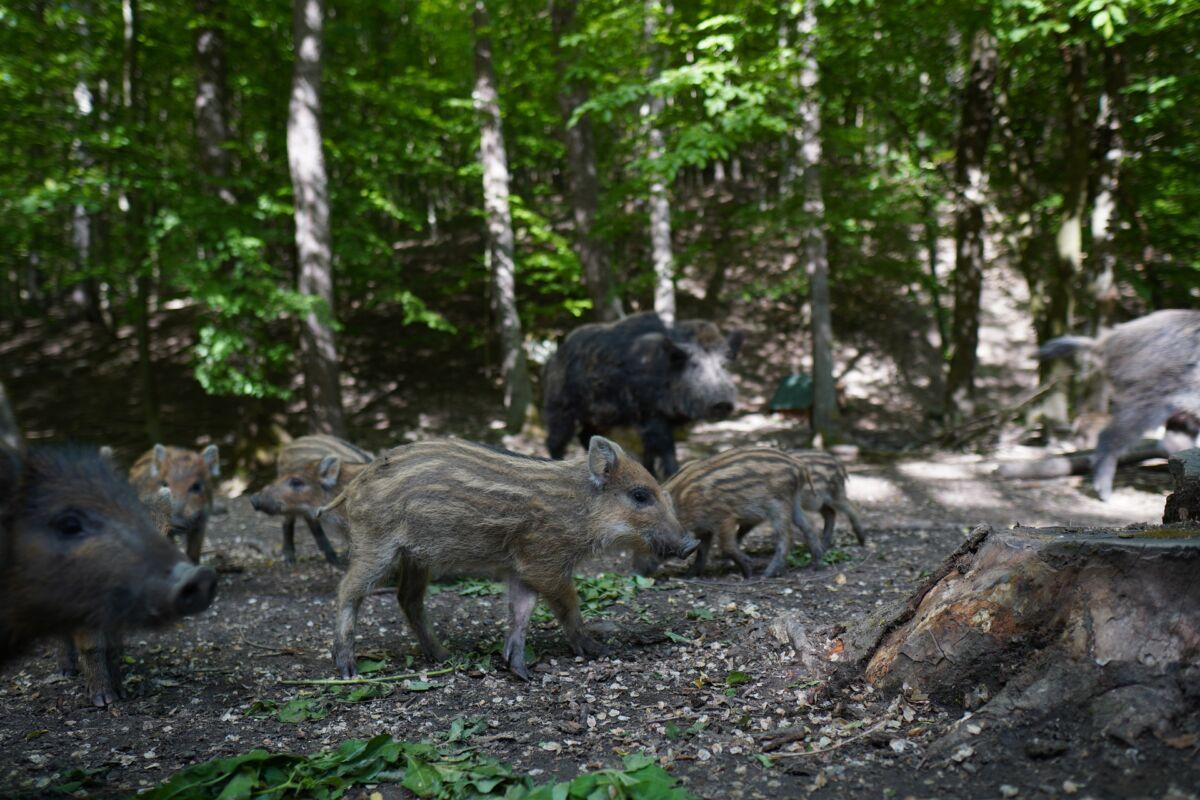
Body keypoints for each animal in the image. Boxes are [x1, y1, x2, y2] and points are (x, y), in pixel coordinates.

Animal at [0, 384, 217, 685]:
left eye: (167, 533)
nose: (198, 577)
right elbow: (92, 645)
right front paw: (103, 694)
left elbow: (114, 643)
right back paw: (66, 670)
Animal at [323, 436, 697, 680]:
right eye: (640, 495)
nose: (691, 543)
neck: (579, 509)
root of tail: (354, 485)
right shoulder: (545, 561)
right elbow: (568, 607)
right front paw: (598, 649)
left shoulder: (523, 566)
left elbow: (521, 611)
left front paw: (519, 671)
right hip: (376, 545)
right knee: (347, 591)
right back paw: (347, 669)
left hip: (416, 558)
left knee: (408, 599)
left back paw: (444, 655)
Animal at [542, 311, 743, 478]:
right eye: (694, 364)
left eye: (724, 364)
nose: (722, 403)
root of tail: (555, 356)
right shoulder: (650, 413)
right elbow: (665, 448)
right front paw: (672, 475)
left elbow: (650, 450)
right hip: (560, 405)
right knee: (555, 440)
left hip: (598, 417)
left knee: (585, 435)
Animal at [1039, 309, 1200, 500]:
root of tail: (1103, 344)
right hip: (1145, 400)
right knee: (1109, 436)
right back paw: (1105, 496)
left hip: (1178, 413)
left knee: (1172, 444)